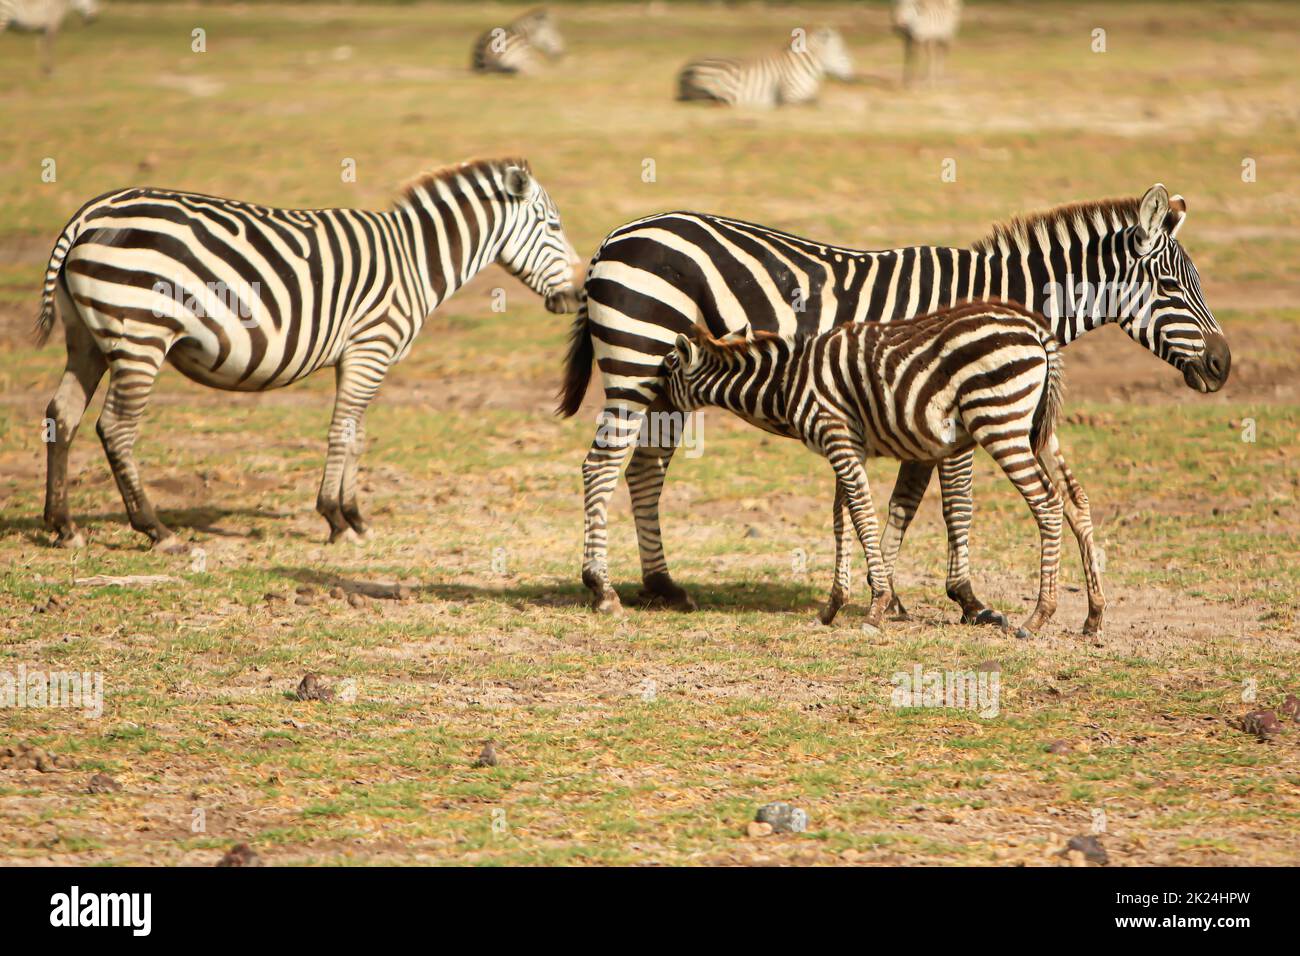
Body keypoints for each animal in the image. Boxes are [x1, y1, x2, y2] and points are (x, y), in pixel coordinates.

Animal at [36, 157, 580, 552]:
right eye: (553, 226)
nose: (575, 296)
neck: (416, 261)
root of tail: (90, 213)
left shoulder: (358, 355)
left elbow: (356, 435)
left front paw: (353, 516)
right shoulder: (371, 347)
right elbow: (344, 432)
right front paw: (338, 518)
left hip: (87, 338)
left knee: (62, 415)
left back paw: (63, 526)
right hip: (140, 336)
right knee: (116, 427)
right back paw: (156, 529)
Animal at [664, 302, 1065, 636]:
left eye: (665, 371)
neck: (787, 382)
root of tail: (1034, 327)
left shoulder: (837, 436)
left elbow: (861, 515)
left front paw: (875, 609)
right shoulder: (845, 444)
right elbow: (841, 520)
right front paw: (832, 607)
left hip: (999, 421)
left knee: (1047, 502)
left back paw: (1039, 616)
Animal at [677, 26, 854, 108]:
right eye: (842, 53)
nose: (853, 78)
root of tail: (686, 66)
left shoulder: (806, 95)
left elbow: (819, 101)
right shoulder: (789, 98)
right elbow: (816, 104)